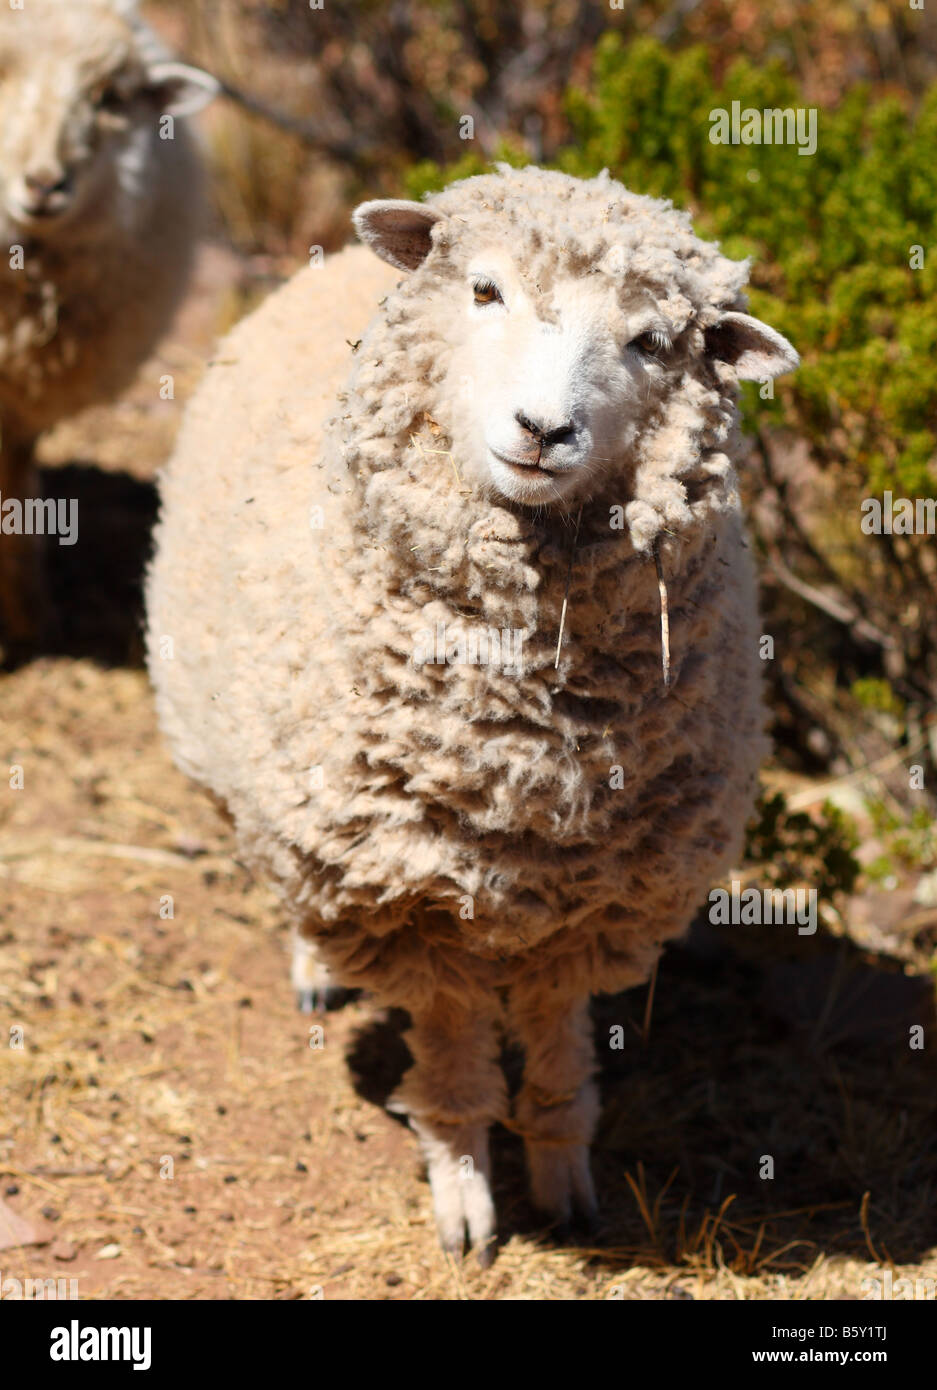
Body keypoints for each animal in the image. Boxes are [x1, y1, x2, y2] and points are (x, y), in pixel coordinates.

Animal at [145, 165, 798, 1262]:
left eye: (649, 342)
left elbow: (557, 1041)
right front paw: (464, 1199)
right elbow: (450, 1057)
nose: (542, 430)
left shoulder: (596, 894)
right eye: (484, 290)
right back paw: (313, 966)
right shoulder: (404, 889)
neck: (511, 746)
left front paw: (564, 1177)